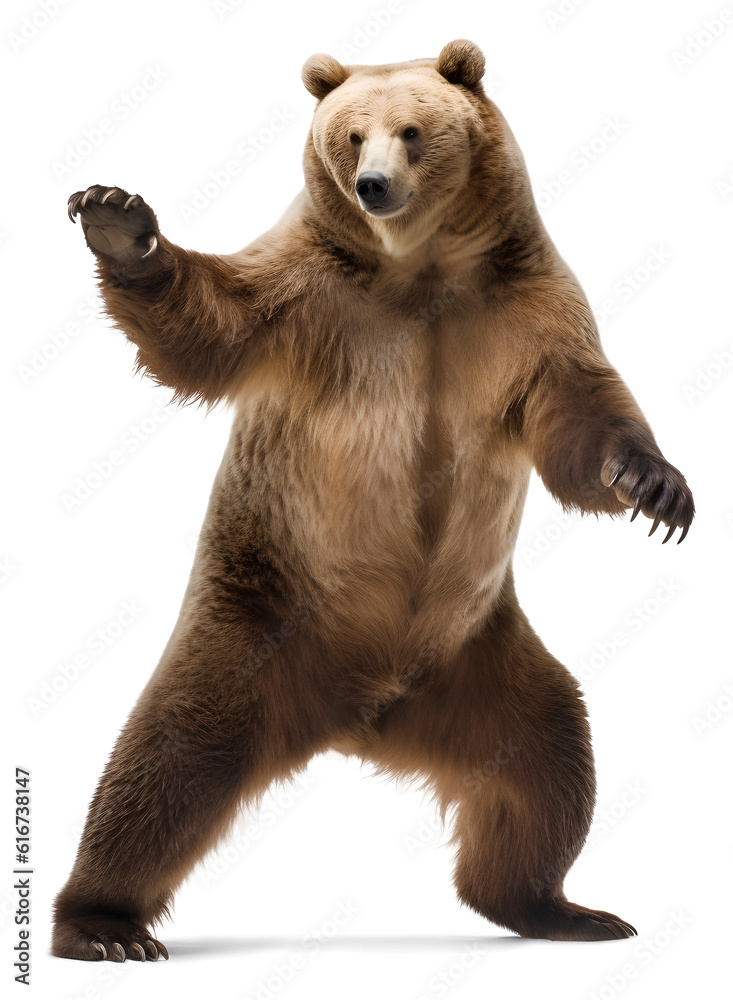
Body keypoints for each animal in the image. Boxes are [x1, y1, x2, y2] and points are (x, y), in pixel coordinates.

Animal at [53, 39, 694, 961]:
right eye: (352, 135)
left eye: (413, 131)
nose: (374, 186)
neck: (416, 270)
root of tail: (361, 715)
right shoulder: (310, 299)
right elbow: (208, 327)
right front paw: (116, 218)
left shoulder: (520, 311)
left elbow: (578, 413)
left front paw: (653, 486)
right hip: (256, 622)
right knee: (163, 763)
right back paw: (103, 926)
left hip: (481, 660)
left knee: (547, 765)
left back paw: (558, 908)